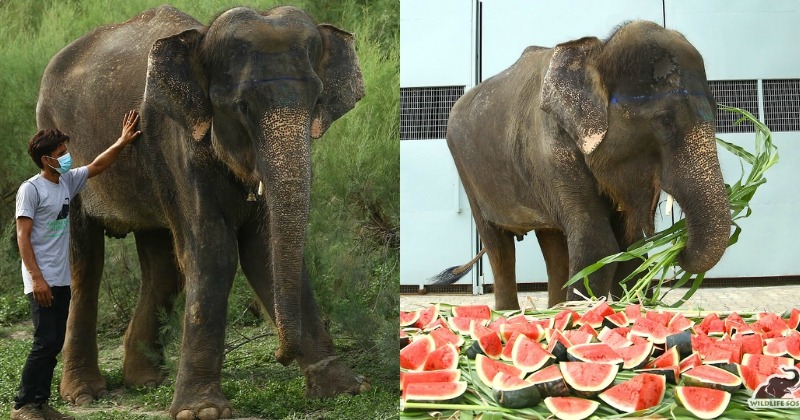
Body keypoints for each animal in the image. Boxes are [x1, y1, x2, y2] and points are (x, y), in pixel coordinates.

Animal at [35, 5, 366, 419]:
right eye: (242, 107)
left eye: (316, 101)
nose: (279, 354)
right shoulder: (178, 145)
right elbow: (214, 253)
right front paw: (202, 411)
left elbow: (262, 253)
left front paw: (345, 389)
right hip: (63, 150)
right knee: (85, 263)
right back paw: (83, 393)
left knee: (161, 264)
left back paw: (144, 380)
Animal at [444, 20, 730, 310]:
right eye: (665, 120)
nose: (680, 248)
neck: (596, 54)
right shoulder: (553, 151)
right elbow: (599, 245)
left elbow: (630, 246)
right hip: (466, 169)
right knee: (498, 245)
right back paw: (509, 314)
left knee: (553, 241)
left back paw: (553, 309)